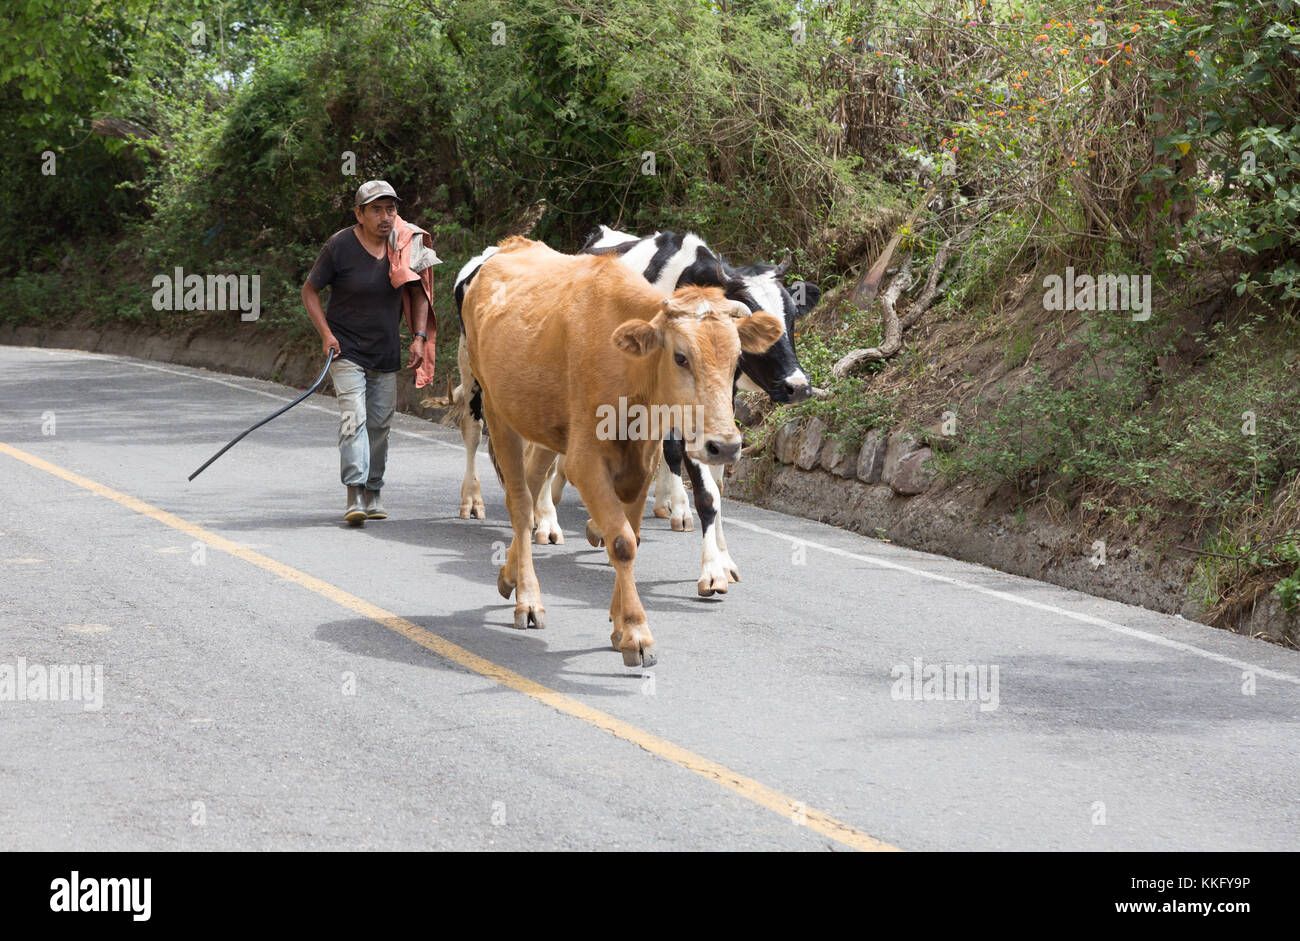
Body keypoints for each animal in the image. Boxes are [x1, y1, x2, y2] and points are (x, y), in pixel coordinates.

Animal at [459, 236, 783, 666]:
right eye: (681, 356)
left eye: (736, 360)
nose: (724, 446)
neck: (631, 374)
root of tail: (512, 245)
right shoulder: (585, 461)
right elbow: (622, 542)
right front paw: (635, 632)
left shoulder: (642, 461)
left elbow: (631, 536)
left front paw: (617, 625)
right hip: (495, 409)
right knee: (519, 501)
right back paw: (528, 599)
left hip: (543, 423)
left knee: (531, 485)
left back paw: (510, 575)